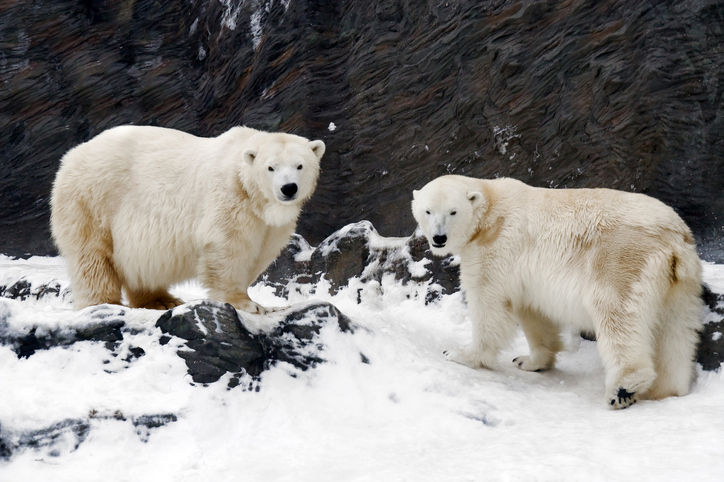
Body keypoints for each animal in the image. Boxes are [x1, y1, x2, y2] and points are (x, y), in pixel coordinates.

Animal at [50, 125, 325, 313]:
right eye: (271, 167)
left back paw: (162, 300)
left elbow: (259, 252)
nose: (288, 188)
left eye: (300, 165)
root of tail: (69, 157)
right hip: (92, 201)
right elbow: (229, 248)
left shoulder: (267, 224)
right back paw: (105, 303)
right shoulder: (228, 199)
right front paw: (245, 303)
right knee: (93, 256)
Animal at [411, 175, 703, 409]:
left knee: (617, 315)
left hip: (621, 259)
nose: (439, 238)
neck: (490, 212)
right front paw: (529, 360)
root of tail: (673, 236)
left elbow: (489, 304)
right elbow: (533, 312)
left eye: (453, 211)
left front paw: (461, 354)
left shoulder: (496, 249)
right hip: (680, 282)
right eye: (428, 211)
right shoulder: (525, 275)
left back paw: (623, 389)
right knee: (675, 329)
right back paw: (666, 389)